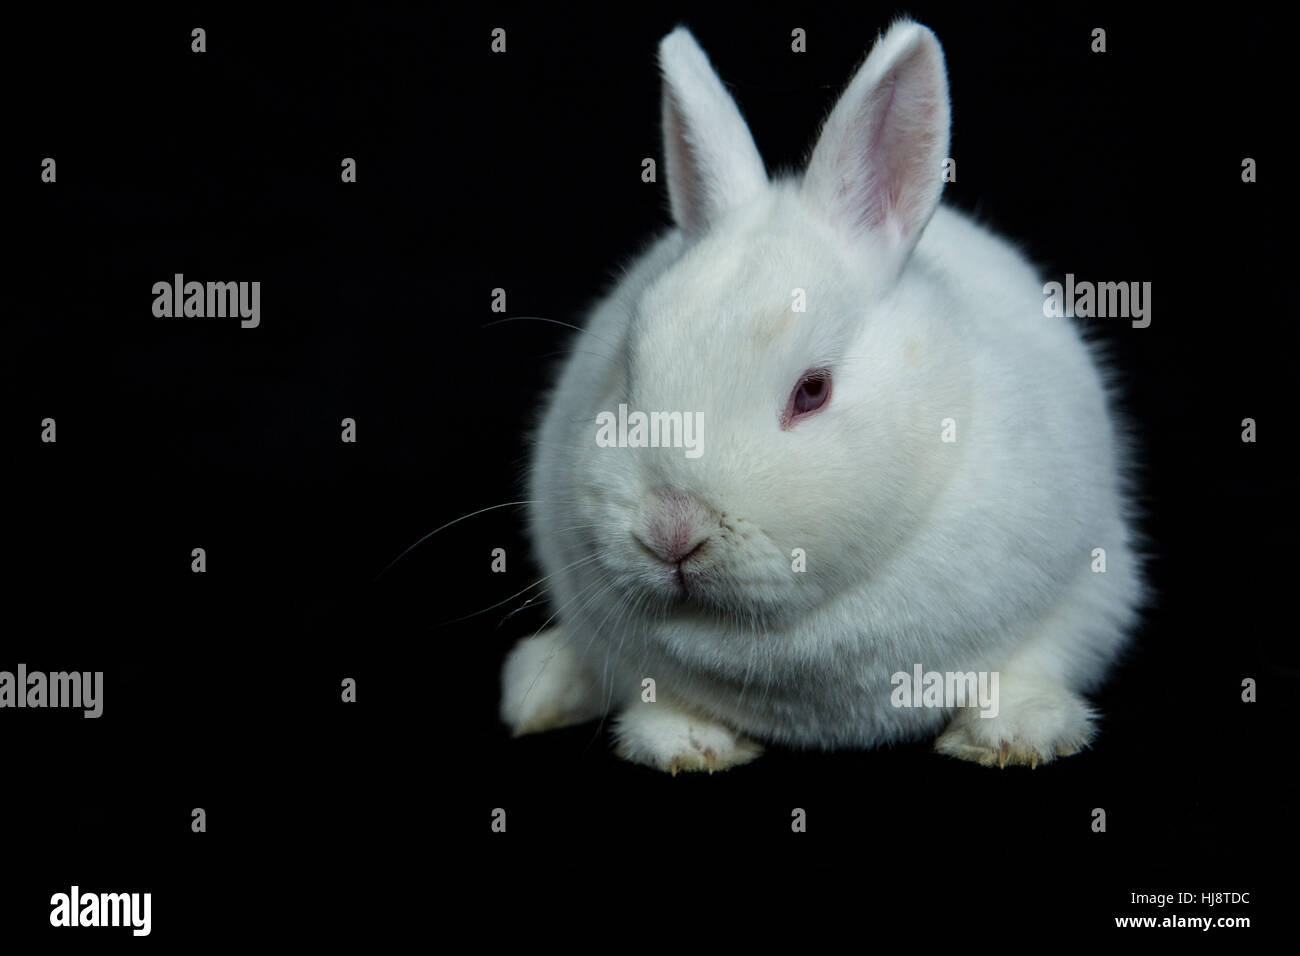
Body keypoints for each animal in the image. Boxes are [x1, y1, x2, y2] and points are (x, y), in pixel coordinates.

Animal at [500, 19, 1145, 773]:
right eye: (627, 377)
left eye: (812, 391)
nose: (671, 532)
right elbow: (655, 693)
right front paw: (686, 743)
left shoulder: (1086, 587)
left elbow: (1033, 663)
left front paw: (1013, 735)